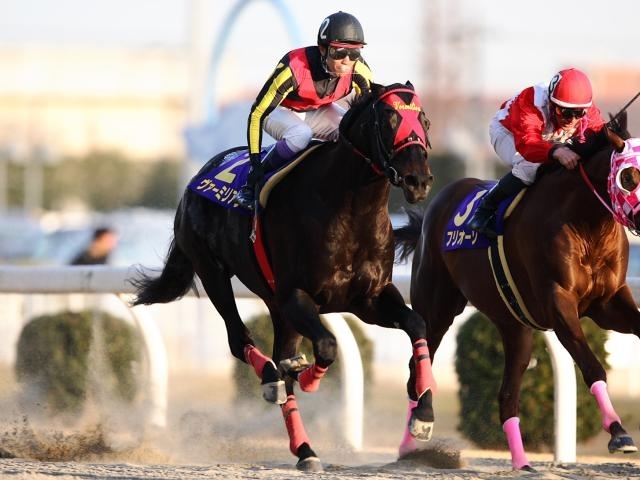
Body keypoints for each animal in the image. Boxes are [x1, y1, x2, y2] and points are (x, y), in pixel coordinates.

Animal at [130, 82, 437, 471]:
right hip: (213, 273)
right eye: (388, 119)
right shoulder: (296, 296)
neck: (350, 208)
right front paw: (303, 377)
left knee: (276, 352)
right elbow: (327, 346)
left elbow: (417, 324)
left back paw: (304, 447)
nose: (418, 180)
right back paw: (275, 384)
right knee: (240, 340)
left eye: (424, 119)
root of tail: (199, 177)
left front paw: (423, 413)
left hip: (275, 307)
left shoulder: (370, 298)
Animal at [394, 119, 640, 471]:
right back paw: (416, 433)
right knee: (417, 368)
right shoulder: (558, 303)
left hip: (515, 327)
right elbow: (591, 365)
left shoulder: (609, 303)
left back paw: (522, 463)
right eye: (629, 177)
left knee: (507, 397)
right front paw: (619, 432)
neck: (585, 224)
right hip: (437, 308)